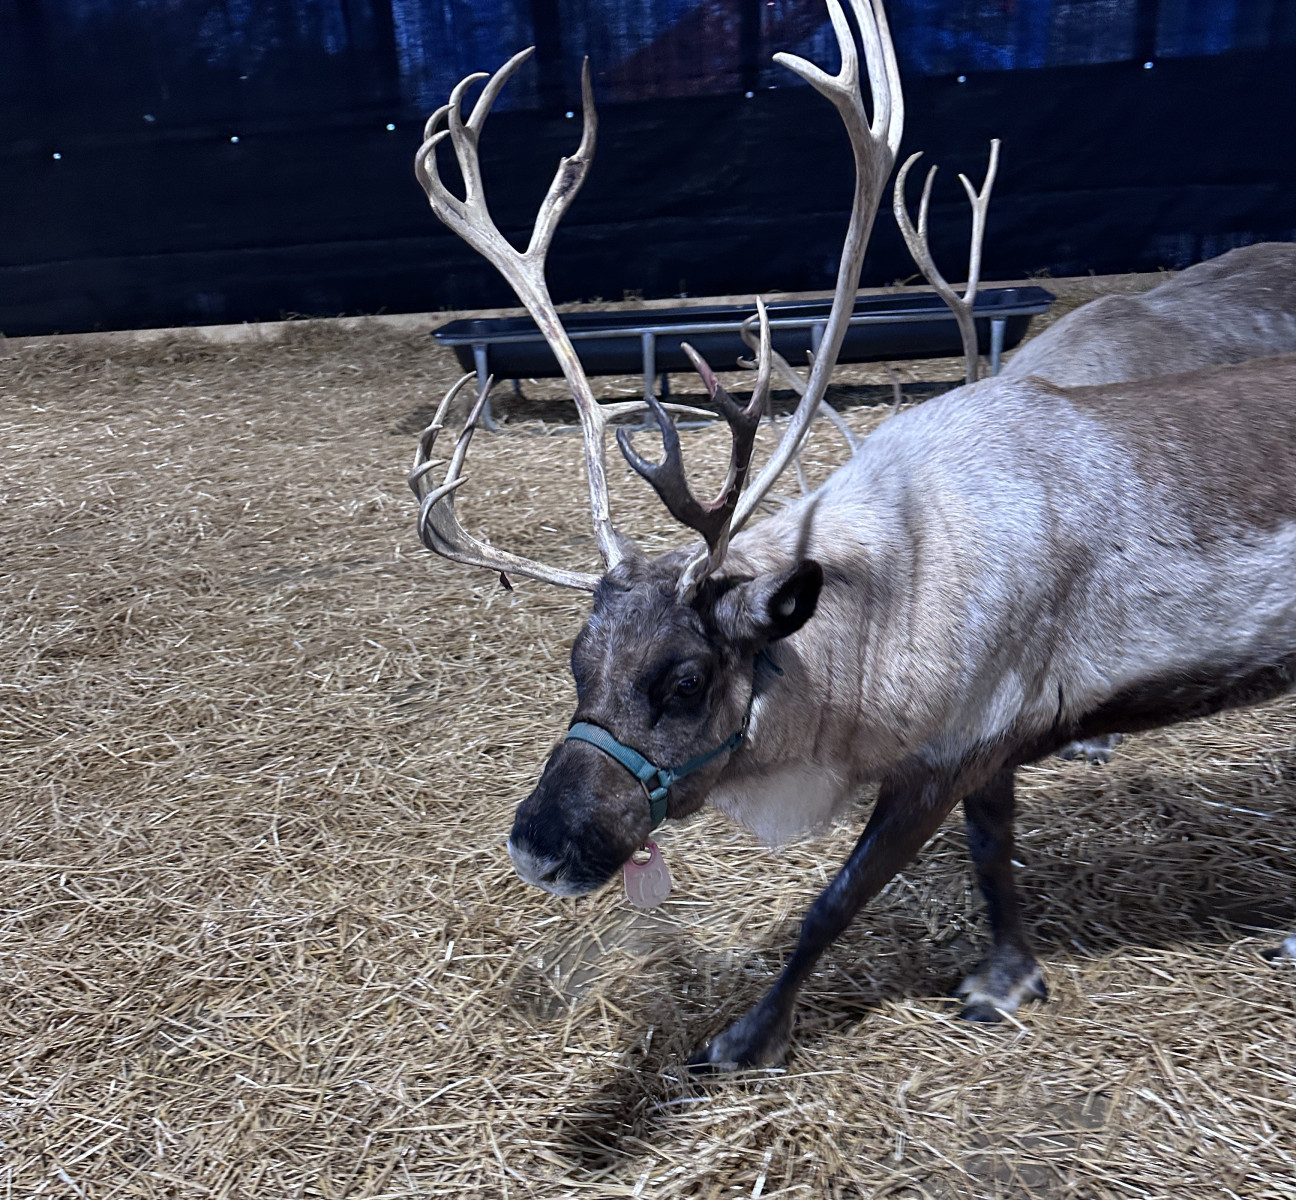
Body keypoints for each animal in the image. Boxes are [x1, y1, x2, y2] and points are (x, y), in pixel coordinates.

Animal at [410, 0, 1296, 1071]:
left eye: (685, 681)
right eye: (576, 663)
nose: (537, 845)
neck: (874, 625)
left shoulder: (947, 753)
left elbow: (835, 902)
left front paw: (749, 1035)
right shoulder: (989, 741)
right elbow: (994, 855)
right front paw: (1010, 972)